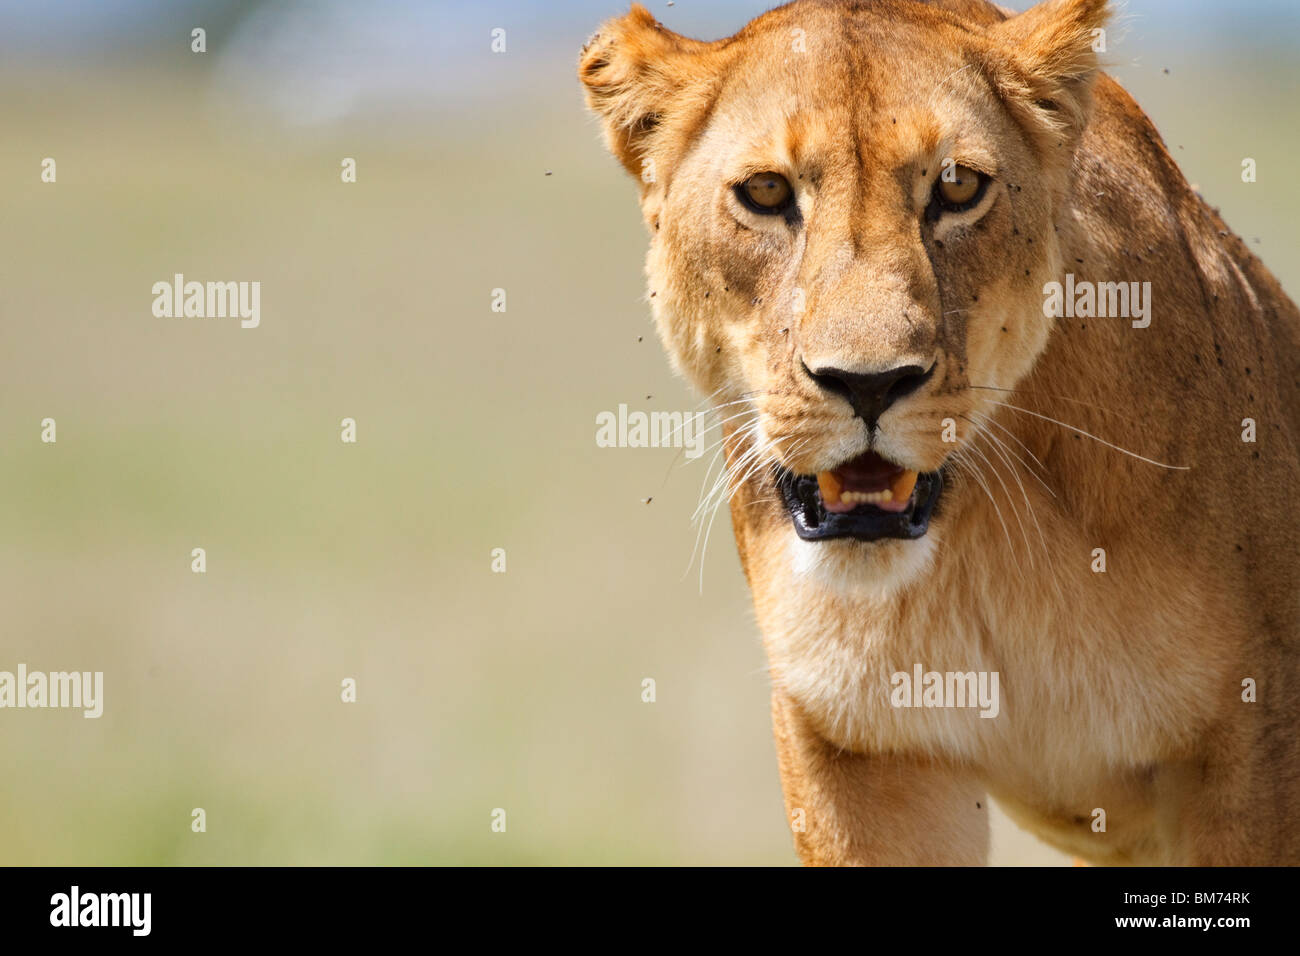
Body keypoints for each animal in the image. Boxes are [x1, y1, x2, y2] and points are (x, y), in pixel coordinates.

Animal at [579, 0, 1300, 865]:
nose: (868, 383)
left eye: (957, 186)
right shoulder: (861, 754)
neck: (975, 557)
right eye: (765, 191)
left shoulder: (1252, 746)